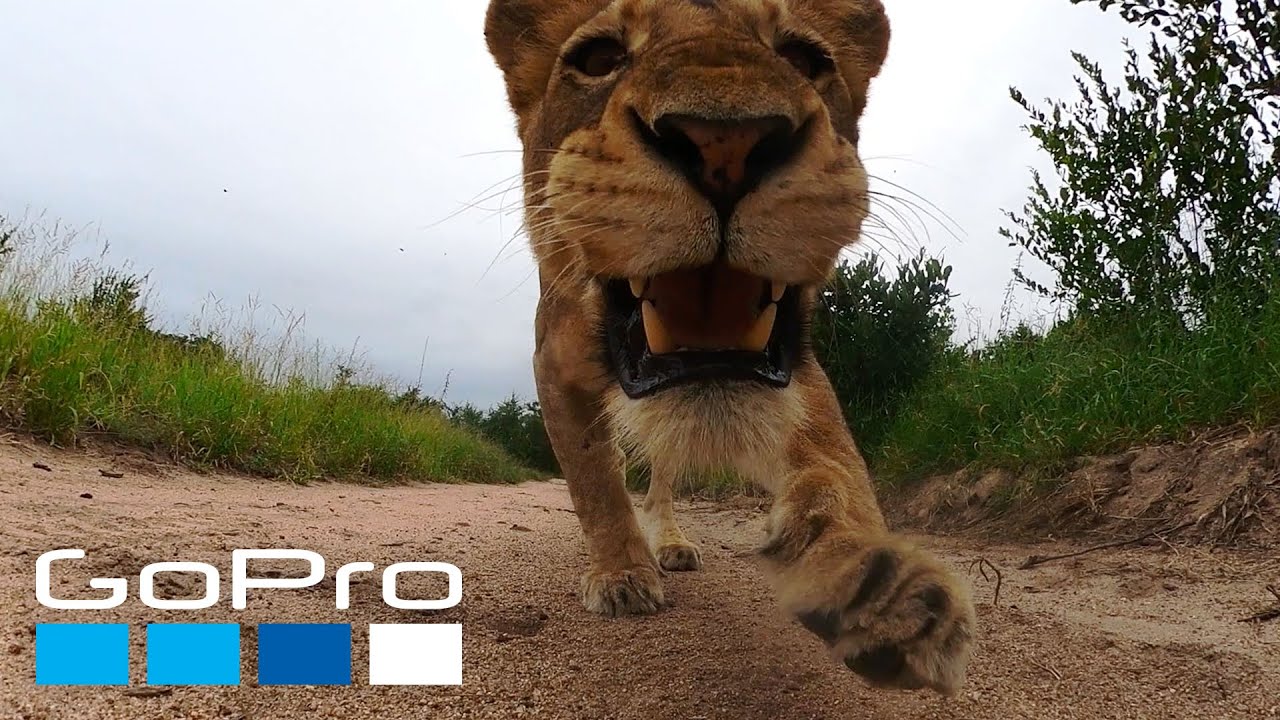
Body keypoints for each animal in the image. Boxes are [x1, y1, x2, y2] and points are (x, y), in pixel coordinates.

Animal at [484, 0, 976, 695]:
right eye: (599, 58)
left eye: (804, 58)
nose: (726, 144)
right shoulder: (553, 366)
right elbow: (594, 479)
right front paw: (622, 575)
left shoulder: (800, 372)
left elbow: (840, 470)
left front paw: (883, 589)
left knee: (663, 482)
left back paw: (672, 543)